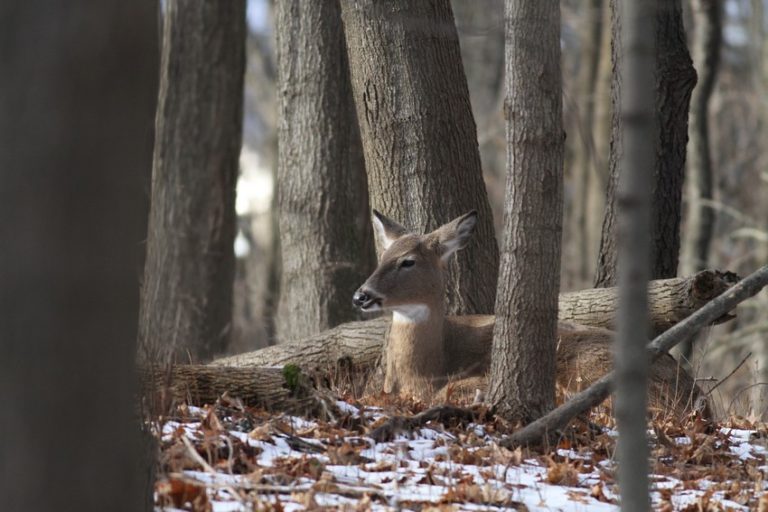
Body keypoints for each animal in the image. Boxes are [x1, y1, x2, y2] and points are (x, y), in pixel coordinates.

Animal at [353, 210, 710, 420]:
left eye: (408, 261)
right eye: (382, 256)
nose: (361, 295)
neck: (429, 366)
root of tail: (698, 400)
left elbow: (449, 392)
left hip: (590, 362)